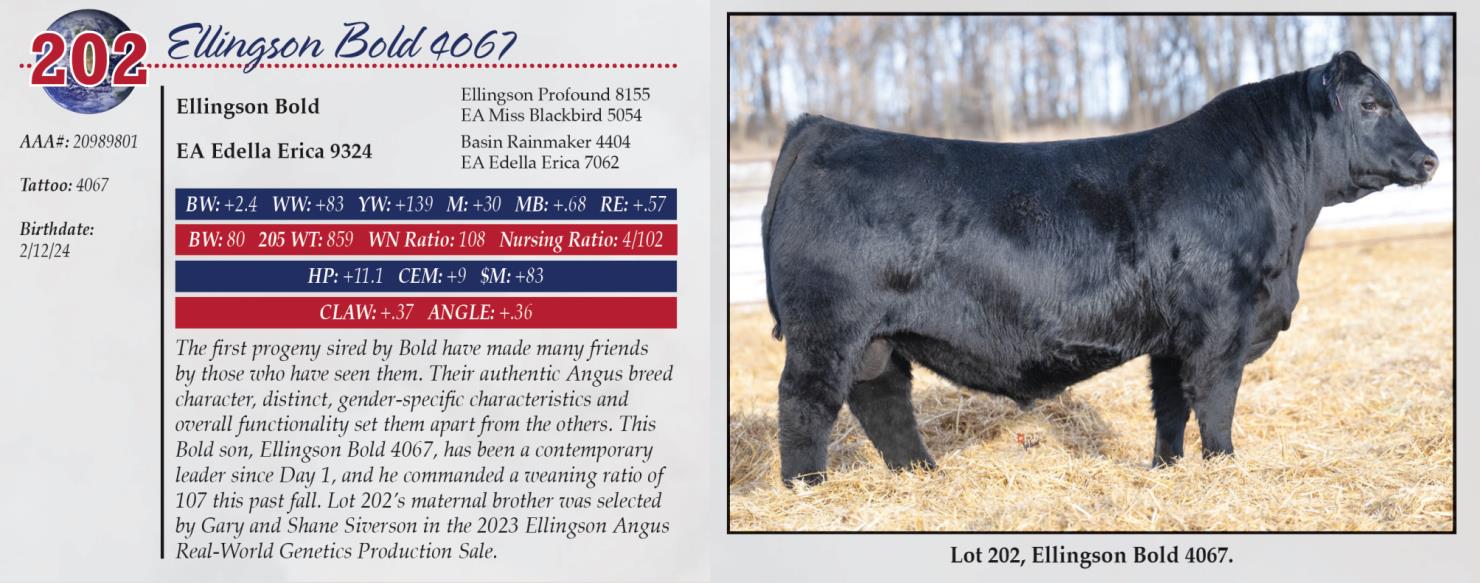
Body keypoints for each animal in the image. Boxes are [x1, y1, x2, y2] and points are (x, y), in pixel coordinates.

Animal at [760, 51, 1438, 486]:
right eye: (1372, 104)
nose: (1431, 159)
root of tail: (820, 128)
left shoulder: (1174, 337)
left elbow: (1171, 405)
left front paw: (1167, 469)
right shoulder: (1221, 323)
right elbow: (1216, 401)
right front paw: (1224, 468)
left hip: (876, 338)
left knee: (881, 399)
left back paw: (924, 477)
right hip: (827, 328)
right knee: (806, 403)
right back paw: (808, 490)